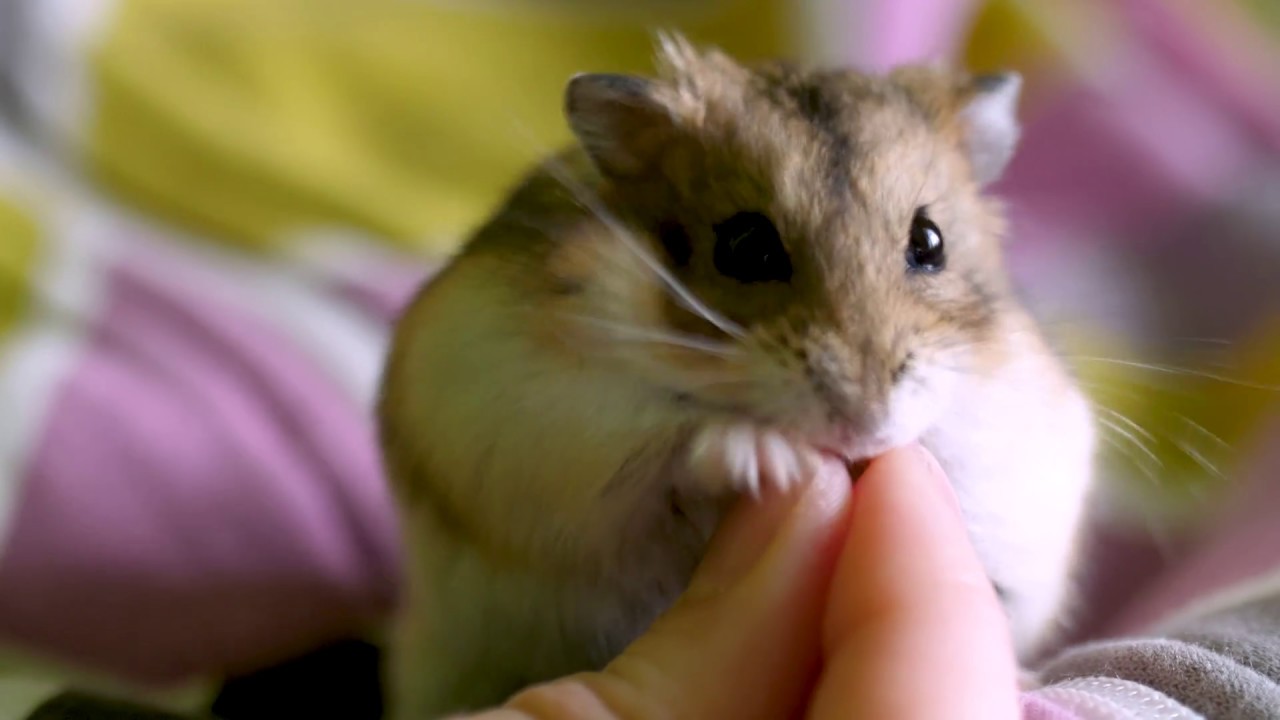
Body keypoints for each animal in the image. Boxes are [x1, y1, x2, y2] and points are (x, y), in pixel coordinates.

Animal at [377, 33, 1097, 718]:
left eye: (930, 242)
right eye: (745, 247)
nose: (865, 425)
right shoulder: (530, 416)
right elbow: (664, 444)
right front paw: (771, 461)